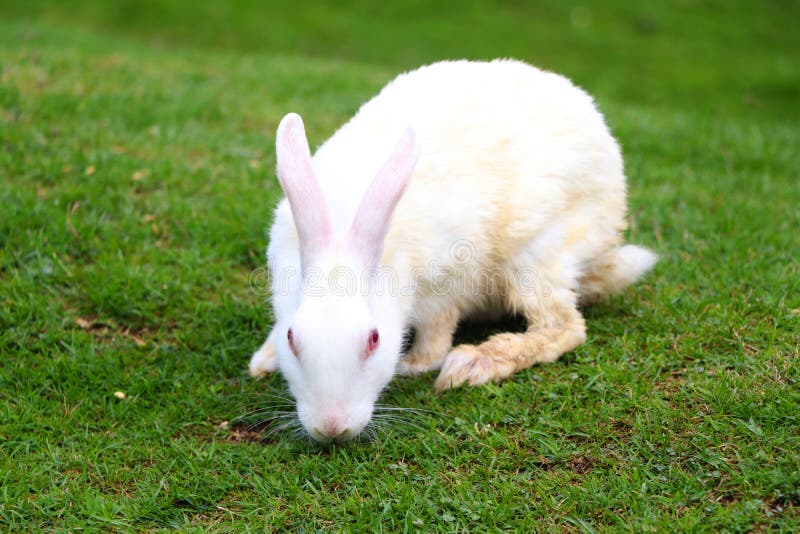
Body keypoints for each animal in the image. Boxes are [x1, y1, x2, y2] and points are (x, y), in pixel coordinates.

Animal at [248, 59, 657, 444]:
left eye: (374, 339)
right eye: (292, 339)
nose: (332, 428)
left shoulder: (447, 281)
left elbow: (438, 331)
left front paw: (415, 364)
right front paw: (263, 360)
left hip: (537, 258)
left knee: (565, 327)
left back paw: (477, 361)